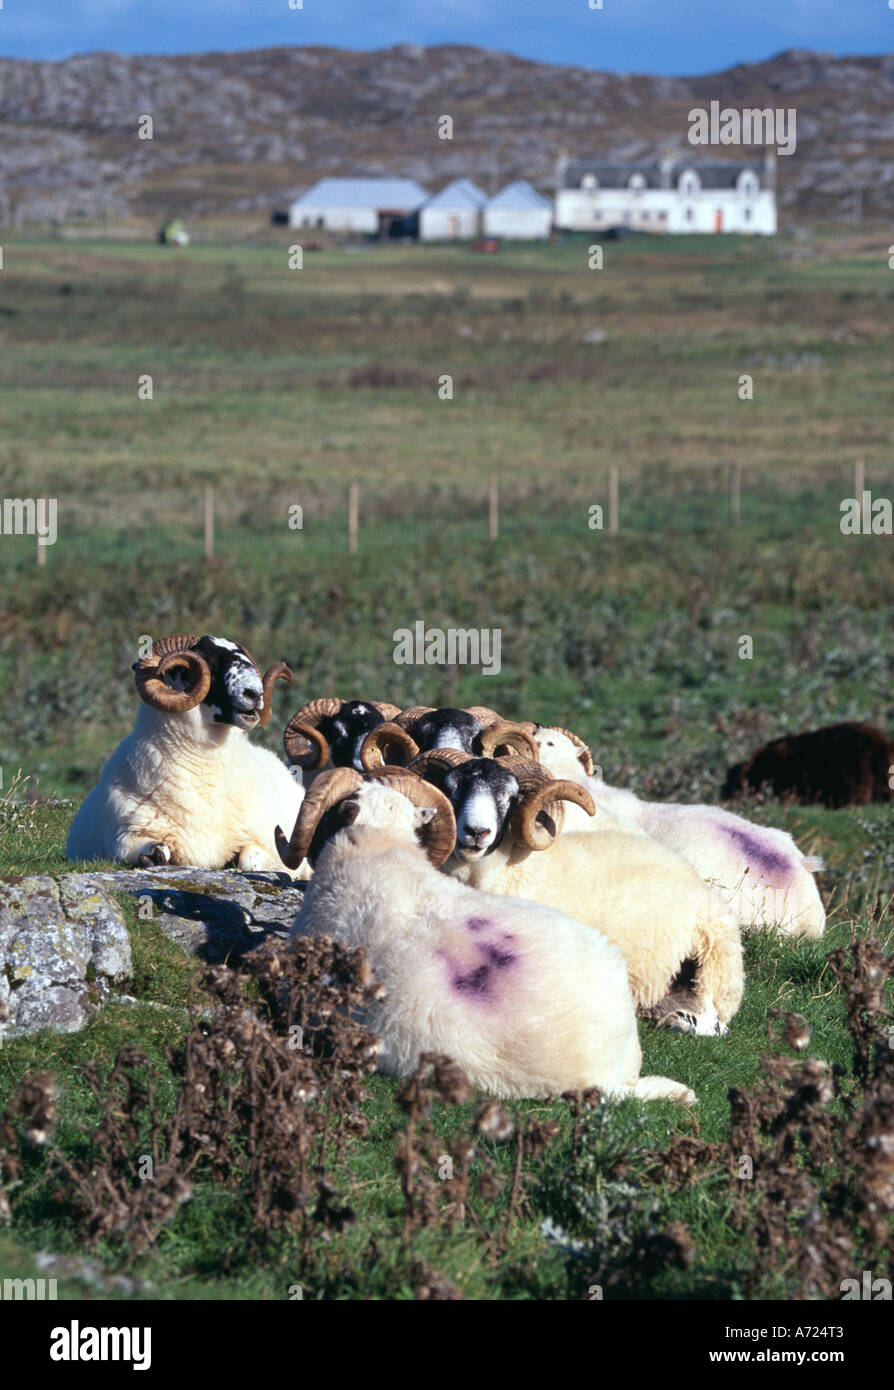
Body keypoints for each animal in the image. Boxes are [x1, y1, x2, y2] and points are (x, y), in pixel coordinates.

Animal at [66, 633, 306, 874]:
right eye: (210, 663)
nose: (255, 694)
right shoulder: (125, 837)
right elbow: (157, 851)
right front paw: (153, 856)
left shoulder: (270, 844)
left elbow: (250, 861)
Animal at [413, 749, 744, 1036]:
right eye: (453, 790)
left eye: (509, 797)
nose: (476, 832)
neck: (517, 870)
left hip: (713, 964)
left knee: (714, 1021)